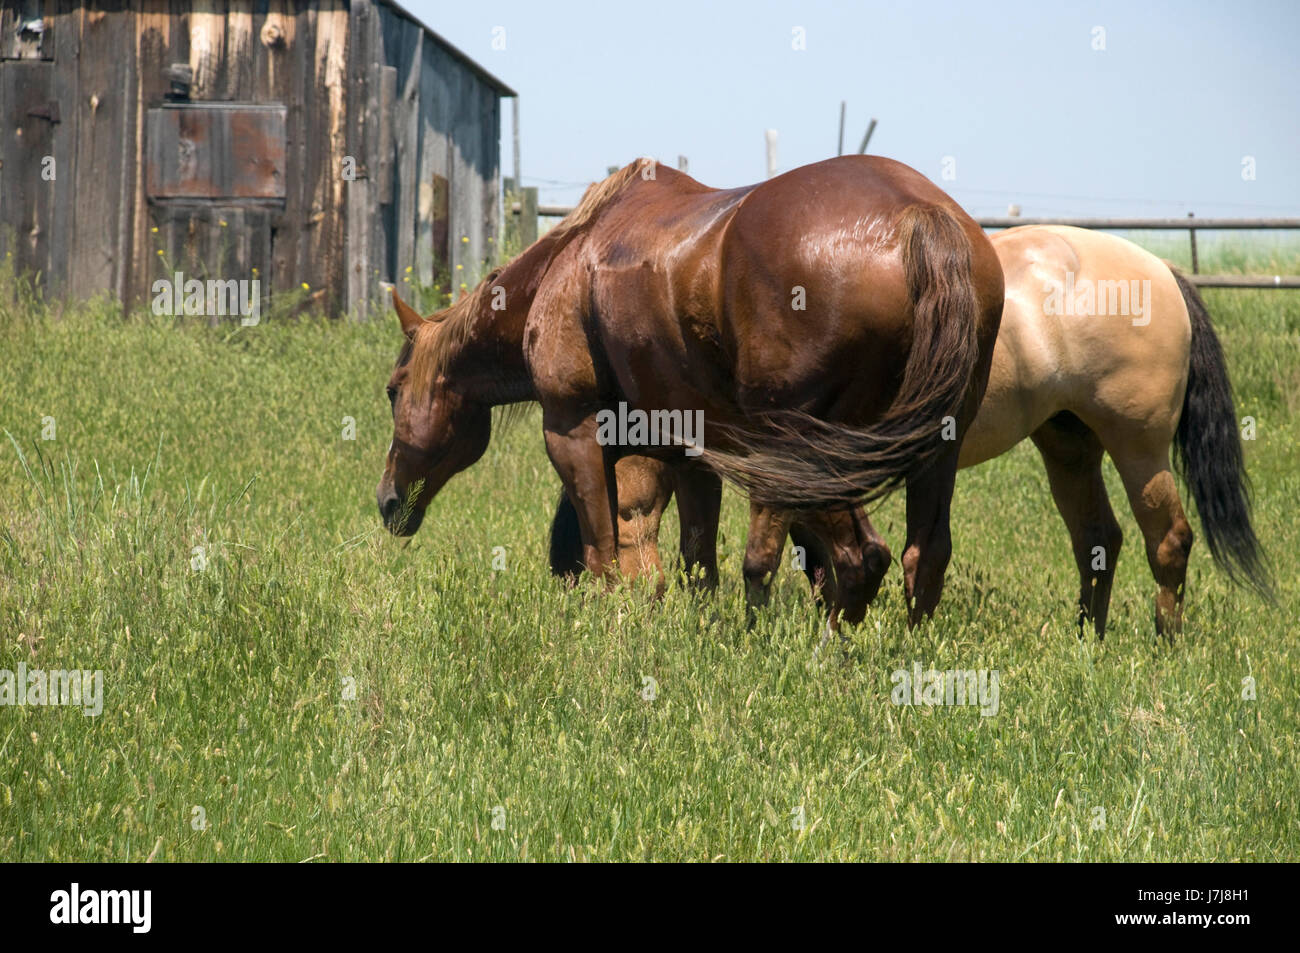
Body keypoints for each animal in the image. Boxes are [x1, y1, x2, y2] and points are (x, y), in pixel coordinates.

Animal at [378, 156, 1005, 625]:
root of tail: (920, 213)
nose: (387, 501)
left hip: (807, 453)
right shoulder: (689, 453)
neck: (569, 265)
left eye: (392, 390)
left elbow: (601, 548)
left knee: (853, 558)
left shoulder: (573, 431)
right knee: (922, 555)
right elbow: (696, 561)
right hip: (930, 450)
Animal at [550, 226, 1272, 639]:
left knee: (1168, 538)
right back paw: (1085, 638)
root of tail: (1164, 271)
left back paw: (1164, 641)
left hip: (1137, 443)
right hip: (1067, 443)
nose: (583, 595)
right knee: (1098, 538)